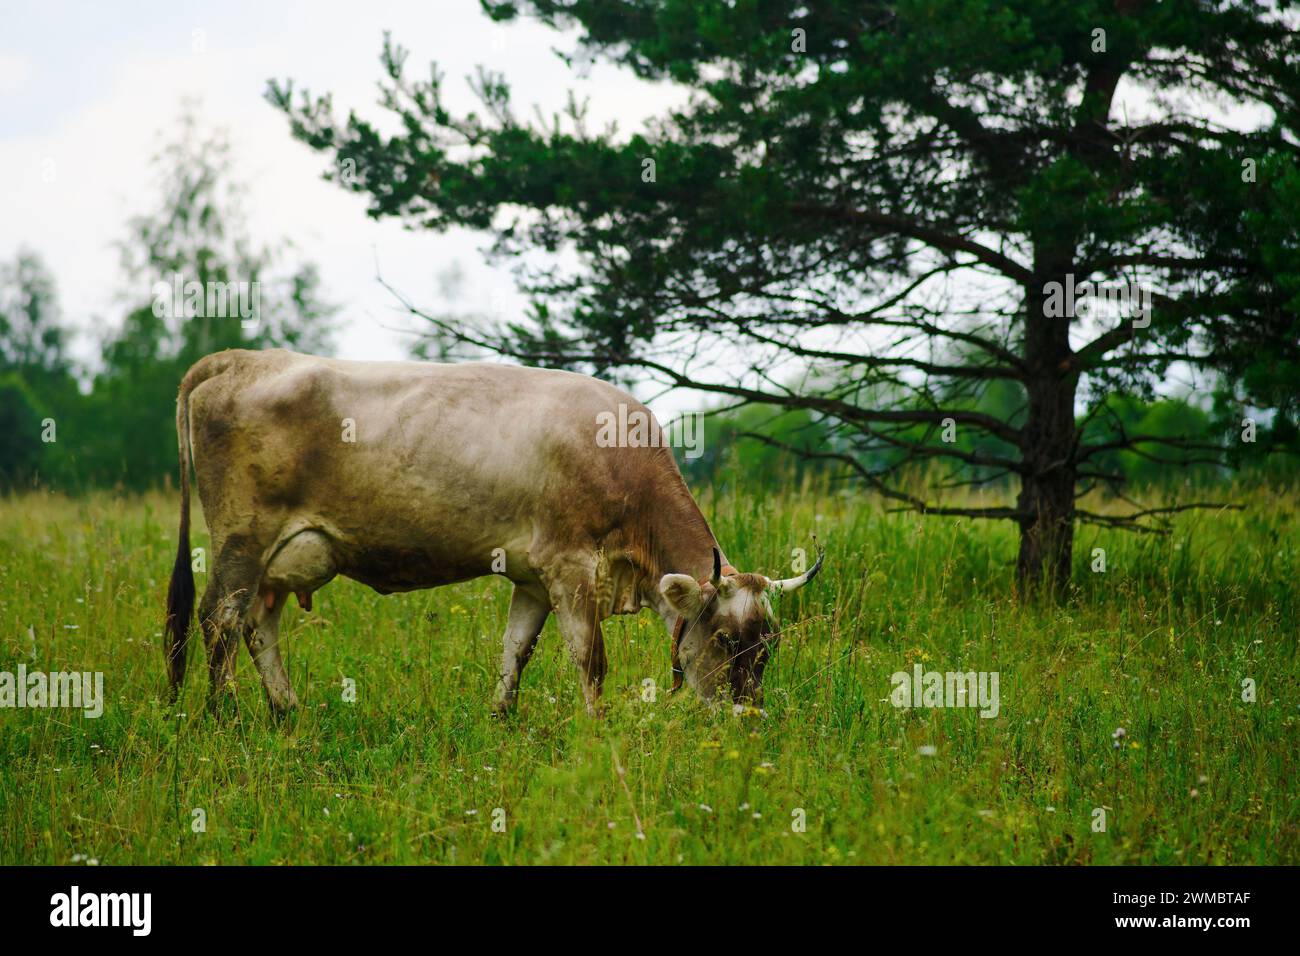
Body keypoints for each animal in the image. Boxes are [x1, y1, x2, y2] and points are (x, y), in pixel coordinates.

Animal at [163, 349, 823, 717]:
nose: (747, 719)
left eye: (770, 646)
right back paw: (224, 718)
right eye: (724, 640)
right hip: (243, 540)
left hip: (283, 556)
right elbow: (590, 658)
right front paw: (598, 731)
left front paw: (500, 720)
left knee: (258, 625)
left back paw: (287, 712)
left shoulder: (532, 579)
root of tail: (239, 357)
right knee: (219, 621)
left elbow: (515, 653)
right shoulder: (569, 565)